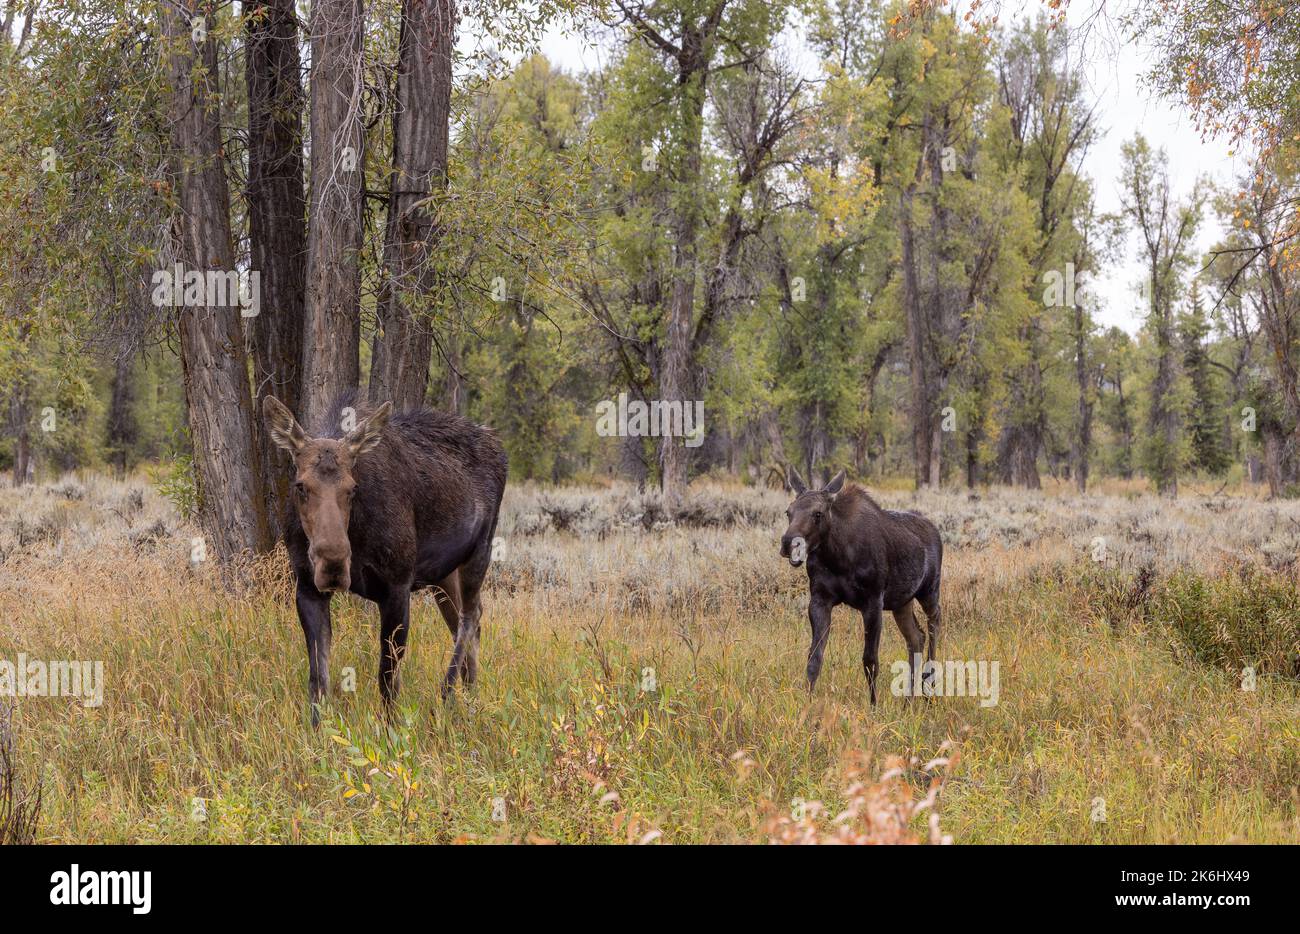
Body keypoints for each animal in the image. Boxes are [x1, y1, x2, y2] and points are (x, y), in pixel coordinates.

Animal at [263, 390, 507, 725]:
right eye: (301, 486)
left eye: (352, 488)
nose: (333, 564)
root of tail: (498, 445)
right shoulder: (308, 589)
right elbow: (318, 679)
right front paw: (316, 734)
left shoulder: (397, 586)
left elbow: (388, 679)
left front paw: (393, 732)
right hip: (443, 574)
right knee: (467, 618)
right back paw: (471, 697)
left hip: (480, 550)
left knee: (470, 617)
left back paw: (447, 695)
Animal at [779, 468, 943, 704]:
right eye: (788, 512)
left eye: (818, 513)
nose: (788, 543)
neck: (838, 556)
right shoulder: (819, 600)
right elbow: (814, 657)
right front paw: (807, 703)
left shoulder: (873, 602)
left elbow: (870, 661)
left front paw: (874, 706)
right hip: (902, 602)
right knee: (916, 637)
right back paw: (909, 700)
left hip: (929, 591)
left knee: (934, 624)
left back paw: (929, 689)